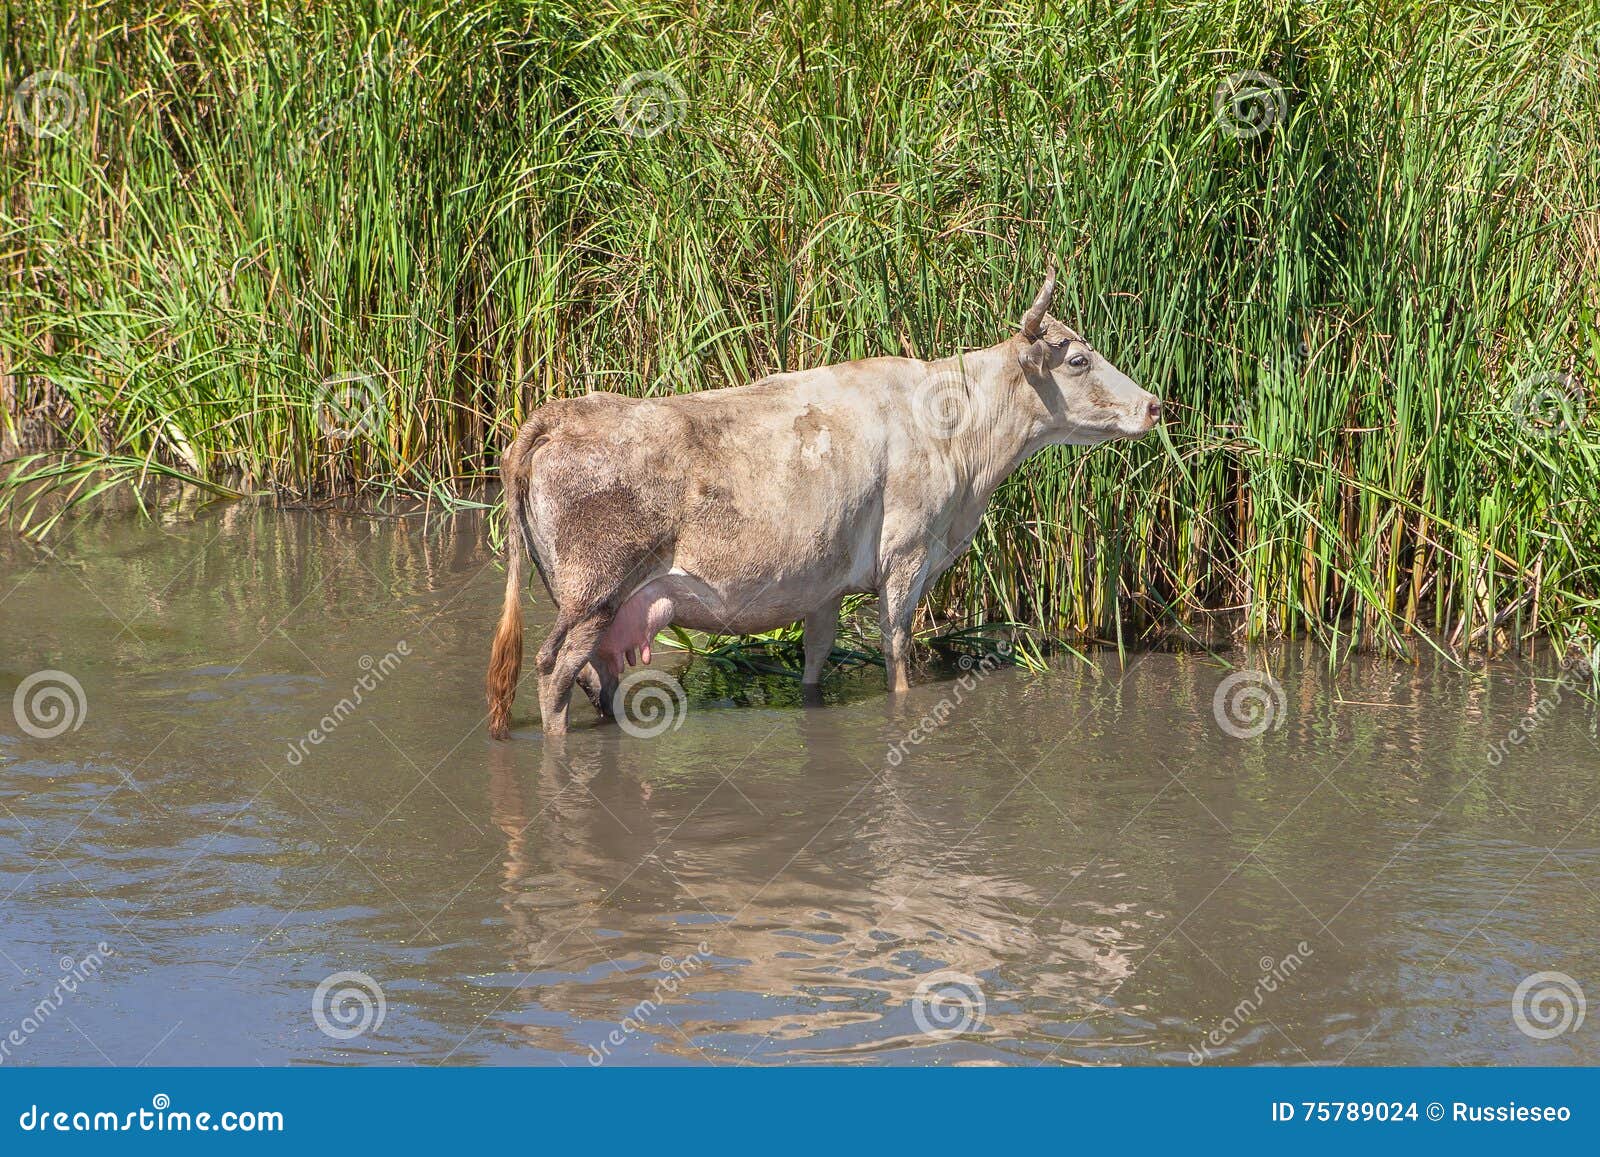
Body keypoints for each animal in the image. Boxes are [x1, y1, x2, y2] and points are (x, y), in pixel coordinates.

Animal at [486, 266, 1161, 737]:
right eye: (1080, 359)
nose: (1154, 404)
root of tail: (557, 415)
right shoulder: (905, 557)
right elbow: (897, 651)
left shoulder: (823, 585)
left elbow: (815, 660)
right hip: (592, 593)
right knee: (551, 671)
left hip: (592, 605)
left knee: (593, 676)